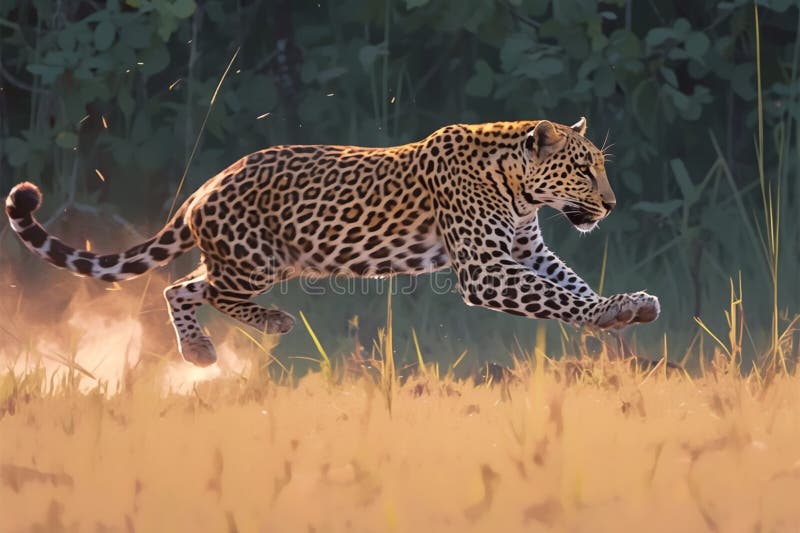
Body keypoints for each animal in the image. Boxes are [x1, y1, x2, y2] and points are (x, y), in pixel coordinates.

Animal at [5, 118, 659, 367]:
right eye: (583, 169)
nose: (610, 204)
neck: (520, 189)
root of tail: (203, 189)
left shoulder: (527, 254)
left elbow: (572, 286)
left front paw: (623, 308)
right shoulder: (486, 270)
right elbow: (561, 297)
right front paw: (614, 312)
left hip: (260, 258)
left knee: (183, 287)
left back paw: (199, 351)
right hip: (258, 258)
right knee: (200, 288)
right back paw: (271, 323)